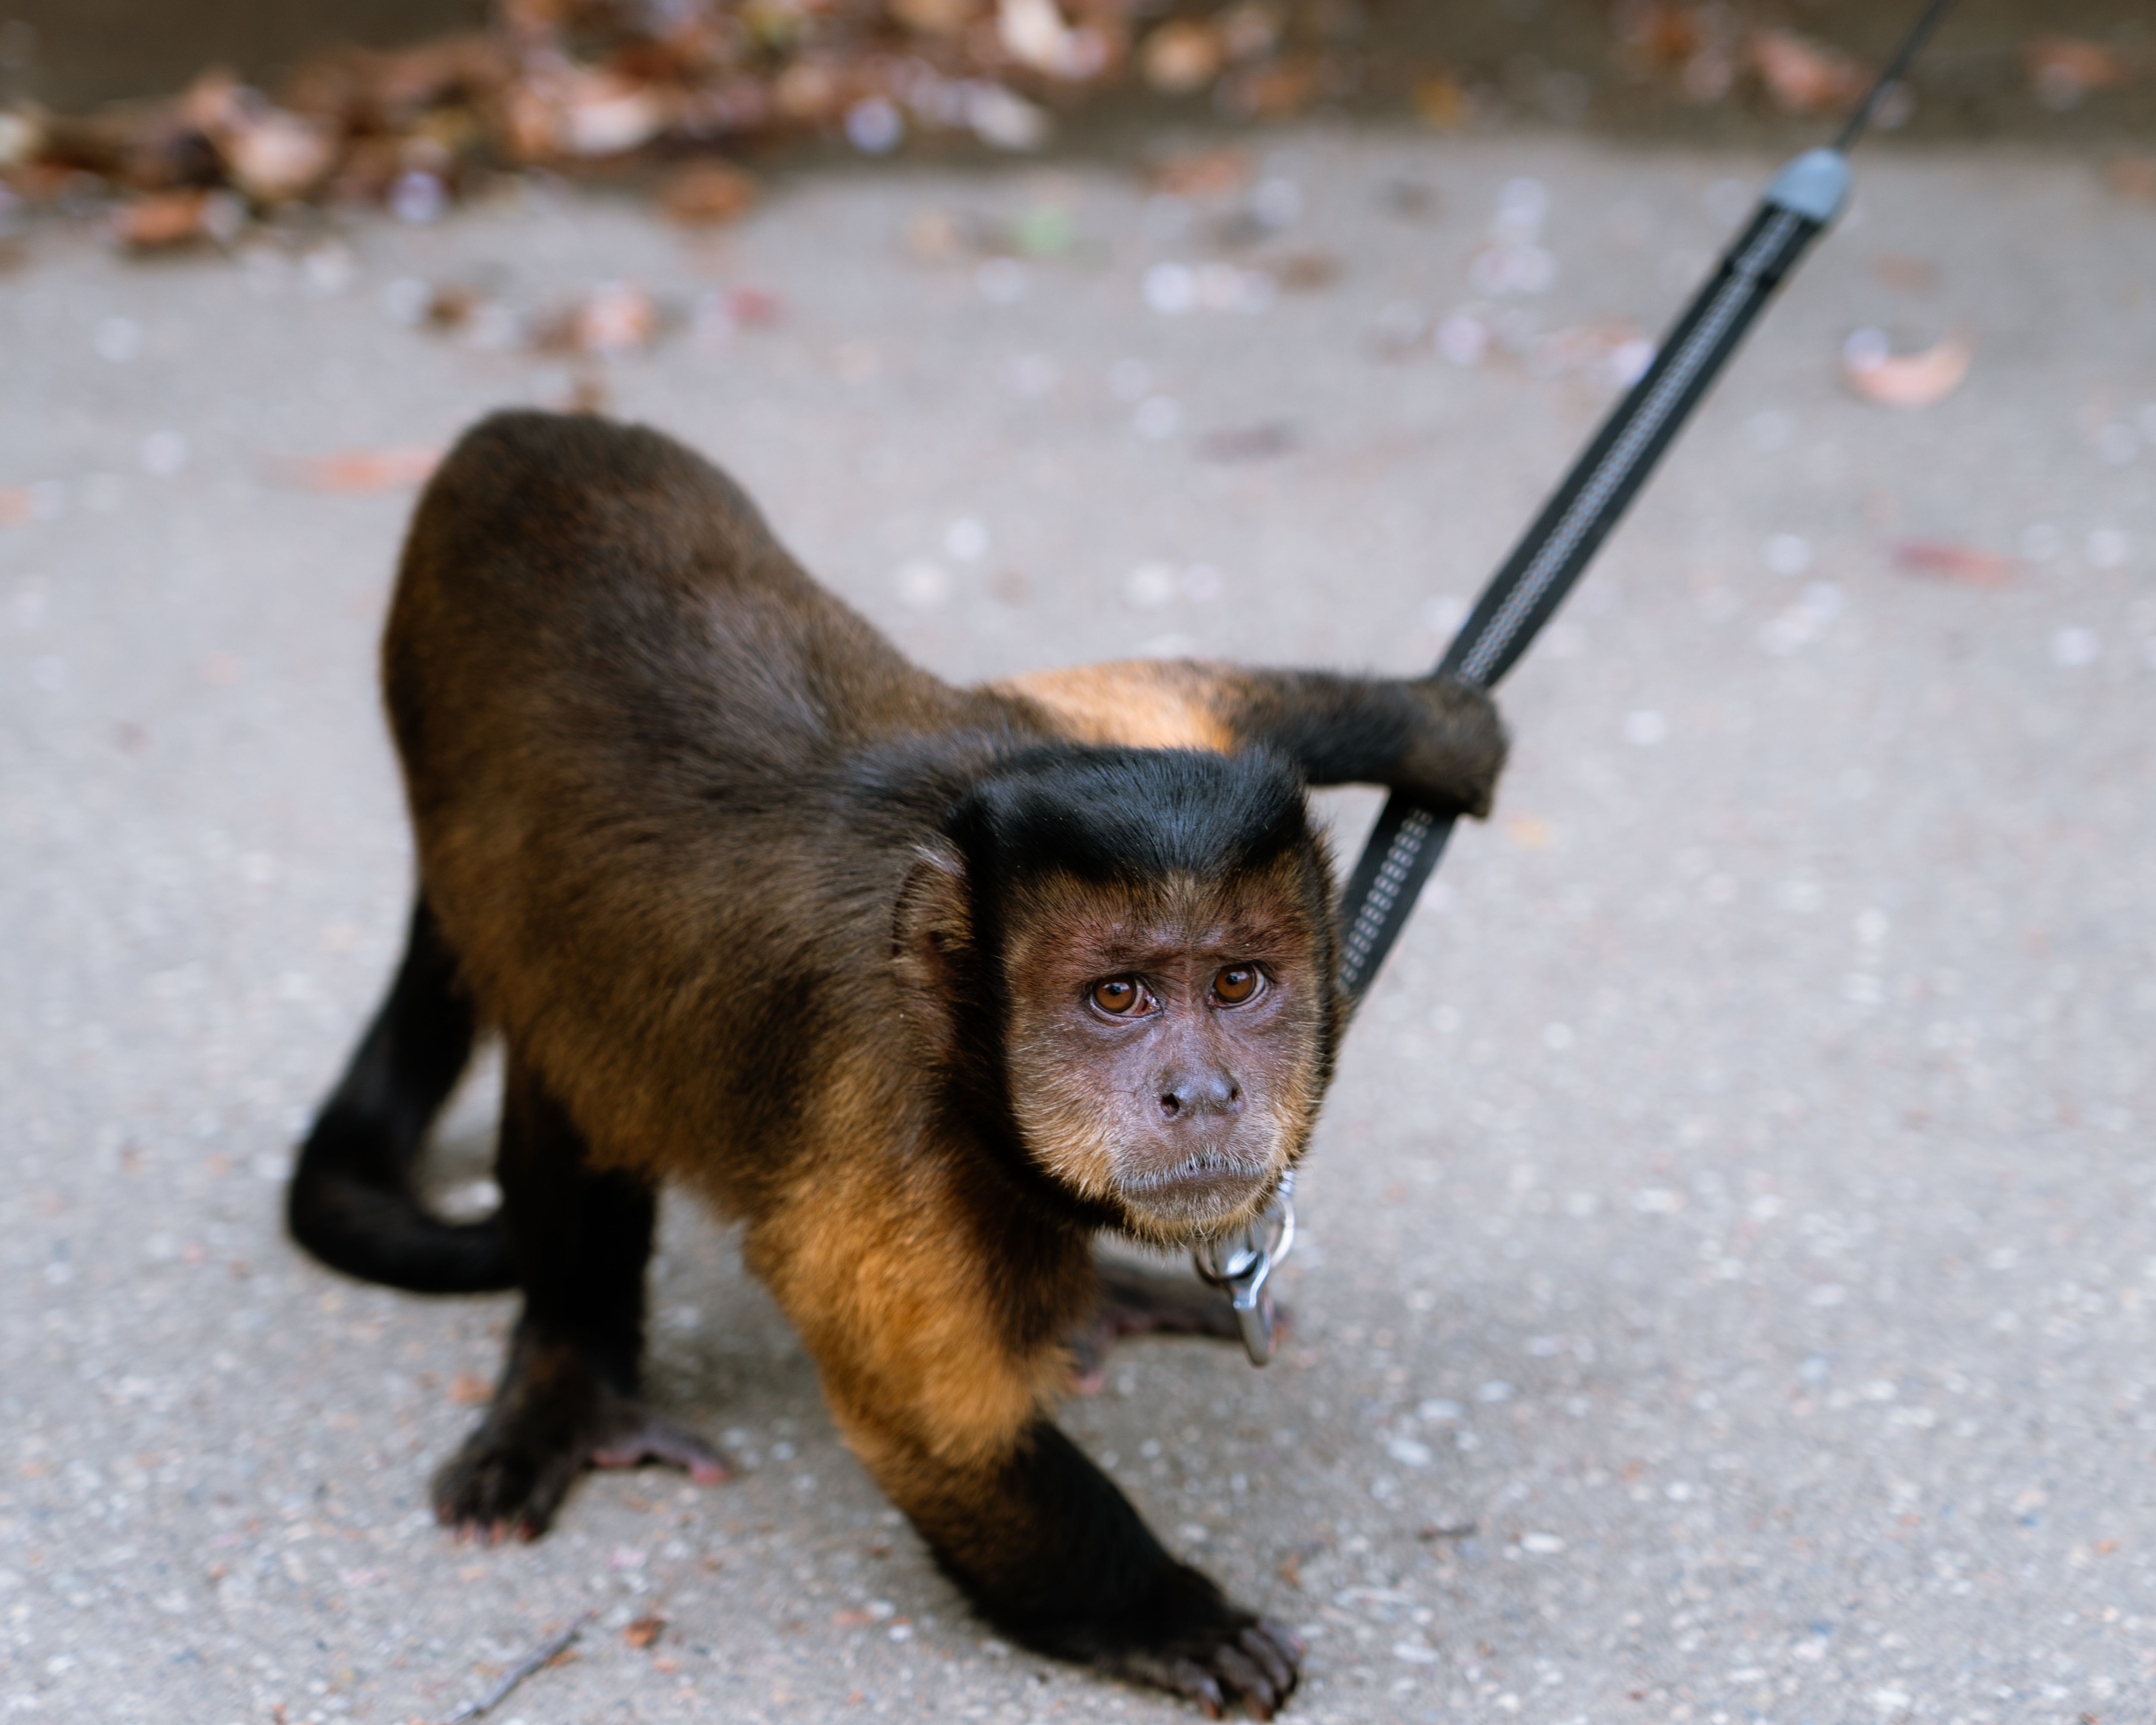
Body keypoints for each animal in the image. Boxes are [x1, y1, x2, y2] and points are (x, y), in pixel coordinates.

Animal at [285, 410, 1505, 1719]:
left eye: (1237, 984)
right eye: (1118, 998)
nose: (1203, 1093)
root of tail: (510, 434)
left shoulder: (1053, 752)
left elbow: (1148, 691)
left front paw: (1428, 726)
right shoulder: (887, 1119)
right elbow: (935, 1423)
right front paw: (1165, 1614)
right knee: (576, 1062)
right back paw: (574, 1373)